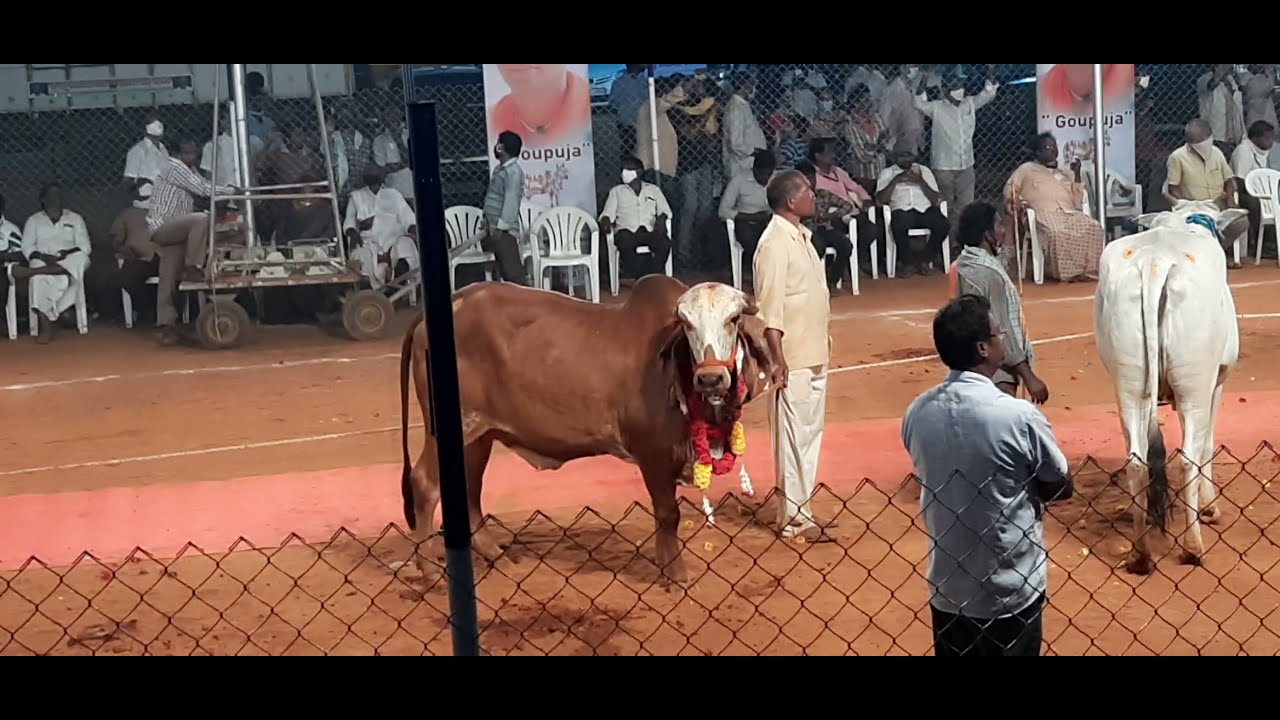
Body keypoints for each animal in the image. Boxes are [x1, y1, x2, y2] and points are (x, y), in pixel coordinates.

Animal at [397, 275, 775, 588]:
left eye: (733, 319)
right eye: (687, 324)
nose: (711, 378)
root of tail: (451, 301)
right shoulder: (652, 453)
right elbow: (668, 514)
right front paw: (675, 573)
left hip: (478, 434)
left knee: (470, 488)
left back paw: (495, 554)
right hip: (454, 428)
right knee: (425, 484)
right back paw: (429, 570)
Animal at [1094, 199, 1247, 575]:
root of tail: (1155, 260)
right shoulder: (1216, 382)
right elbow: (1206, 446)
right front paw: (1209, 507)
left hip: (1128, 382)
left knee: (1137, 461)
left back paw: (1141, 553)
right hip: (1194, 383)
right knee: (1189, 459)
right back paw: (1193, 547)